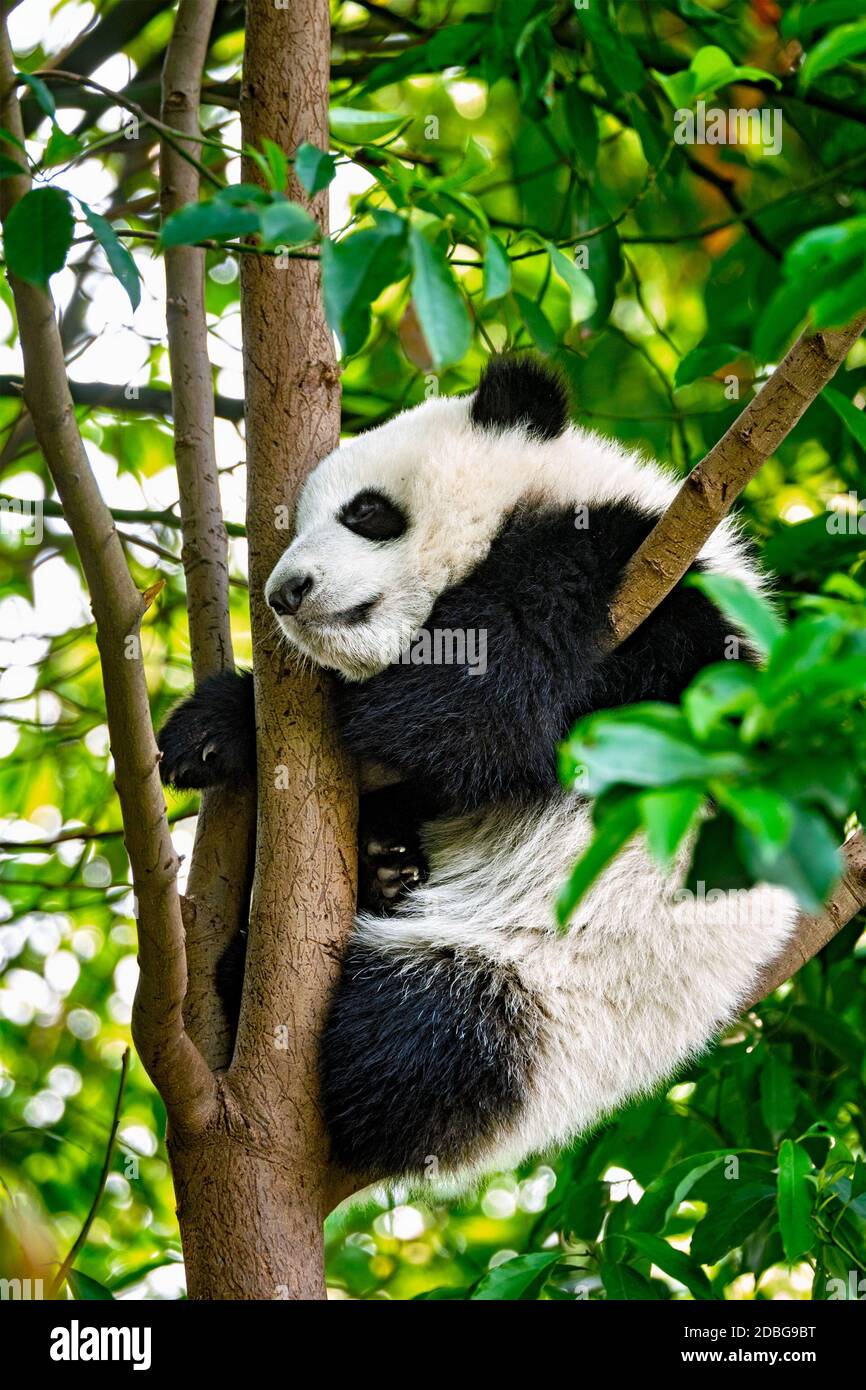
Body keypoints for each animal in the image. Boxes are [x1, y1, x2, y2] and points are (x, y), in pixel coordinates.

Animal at [158, 356, 798, 1188]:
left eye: (367, 513)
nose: (285, 594)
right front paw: (205, 734)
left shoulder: (653, 595)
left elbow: (475, 714)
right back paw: (382, 867)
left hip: (538, 999)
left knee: (421, 1043)